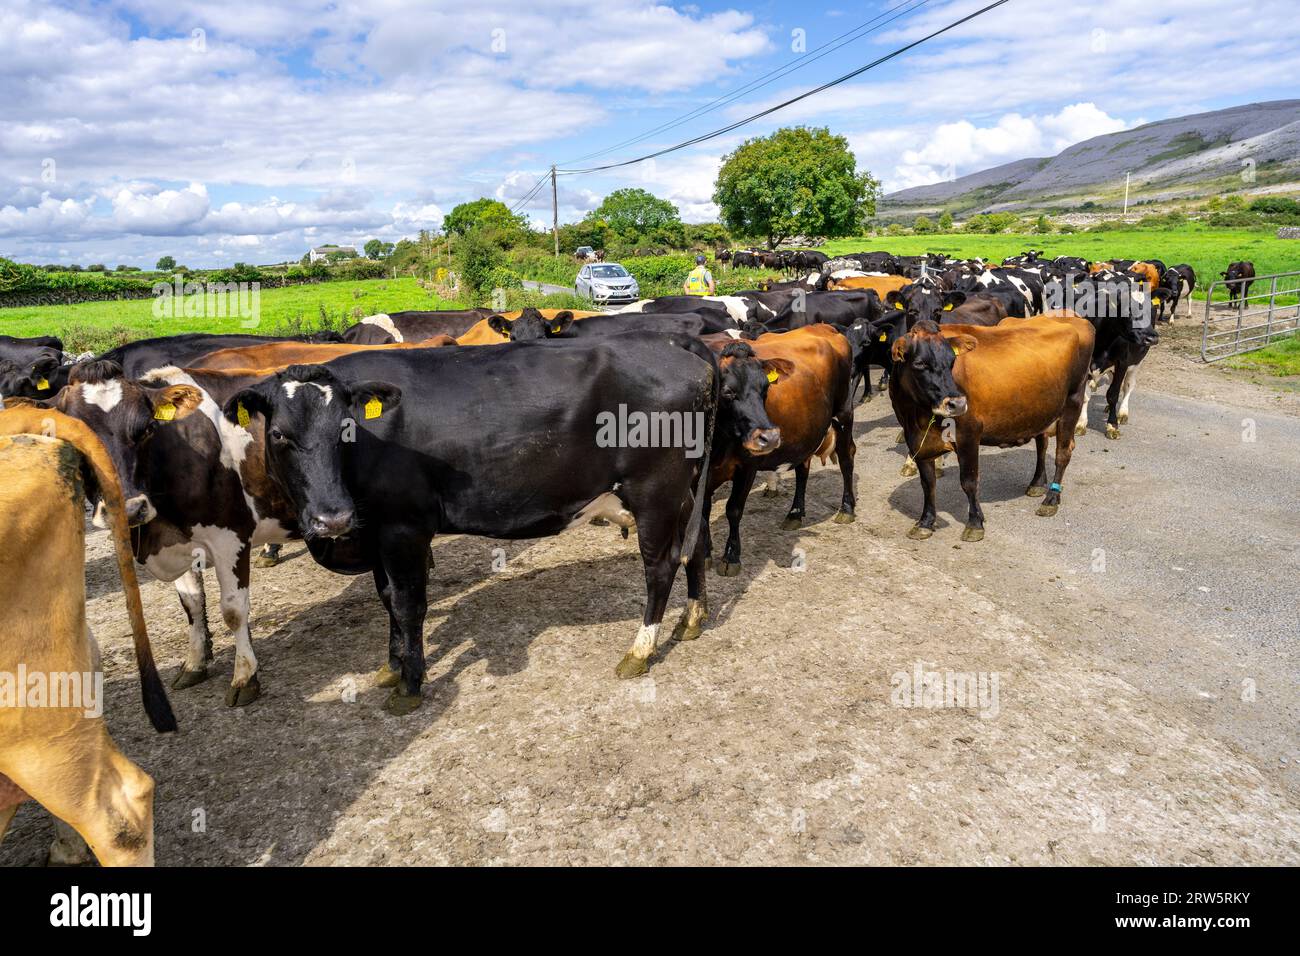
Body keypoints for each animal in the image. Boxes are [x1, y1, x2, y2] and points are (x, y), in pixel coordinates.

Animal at [217, 333, 781, 709]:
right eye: (279, 435)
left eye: (345, 431)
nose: (332, 517)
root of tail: (680, 347)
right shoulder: (376, 531)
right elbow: (387, 600)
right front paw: (391, 667)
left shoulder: (404, 528)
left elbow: (408, 603)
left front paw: (411, 683)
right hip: (690, 490)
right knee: (697, 547)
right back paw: (693, 618)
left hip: (655, 492)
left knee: (660, 566)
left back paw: (639, 649)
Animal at [699, 327, 855, 575]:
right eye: (727, 391)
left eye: (765, 388)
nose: (770, 437)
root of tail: (824, 327)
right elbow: (703, 511)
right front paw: (705, 553)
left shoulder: (748, 465)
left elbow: (733, 509)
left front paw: (731, 557)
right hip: (806, 432)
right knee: (803, 470)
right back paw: (795, 513)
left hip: (844, 412)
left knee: (847, 458)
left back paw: (847, 508)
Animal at [887, 314, 1094, 542]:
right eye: (919, 363)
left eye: (952, 362)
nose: (958, 404)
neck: (918, 416)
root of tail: (1074, 317)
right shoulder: (917, 440)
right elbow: (927, 483)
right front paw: (925, 522)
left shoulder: (968, 433)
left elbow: (969, 481)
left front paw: (975, 522)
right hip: (1041, 410)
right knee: (1042, 444)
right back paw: (1037, 484)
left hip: (1072, 401)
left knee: (1063, 453)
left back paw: (1051, 498)